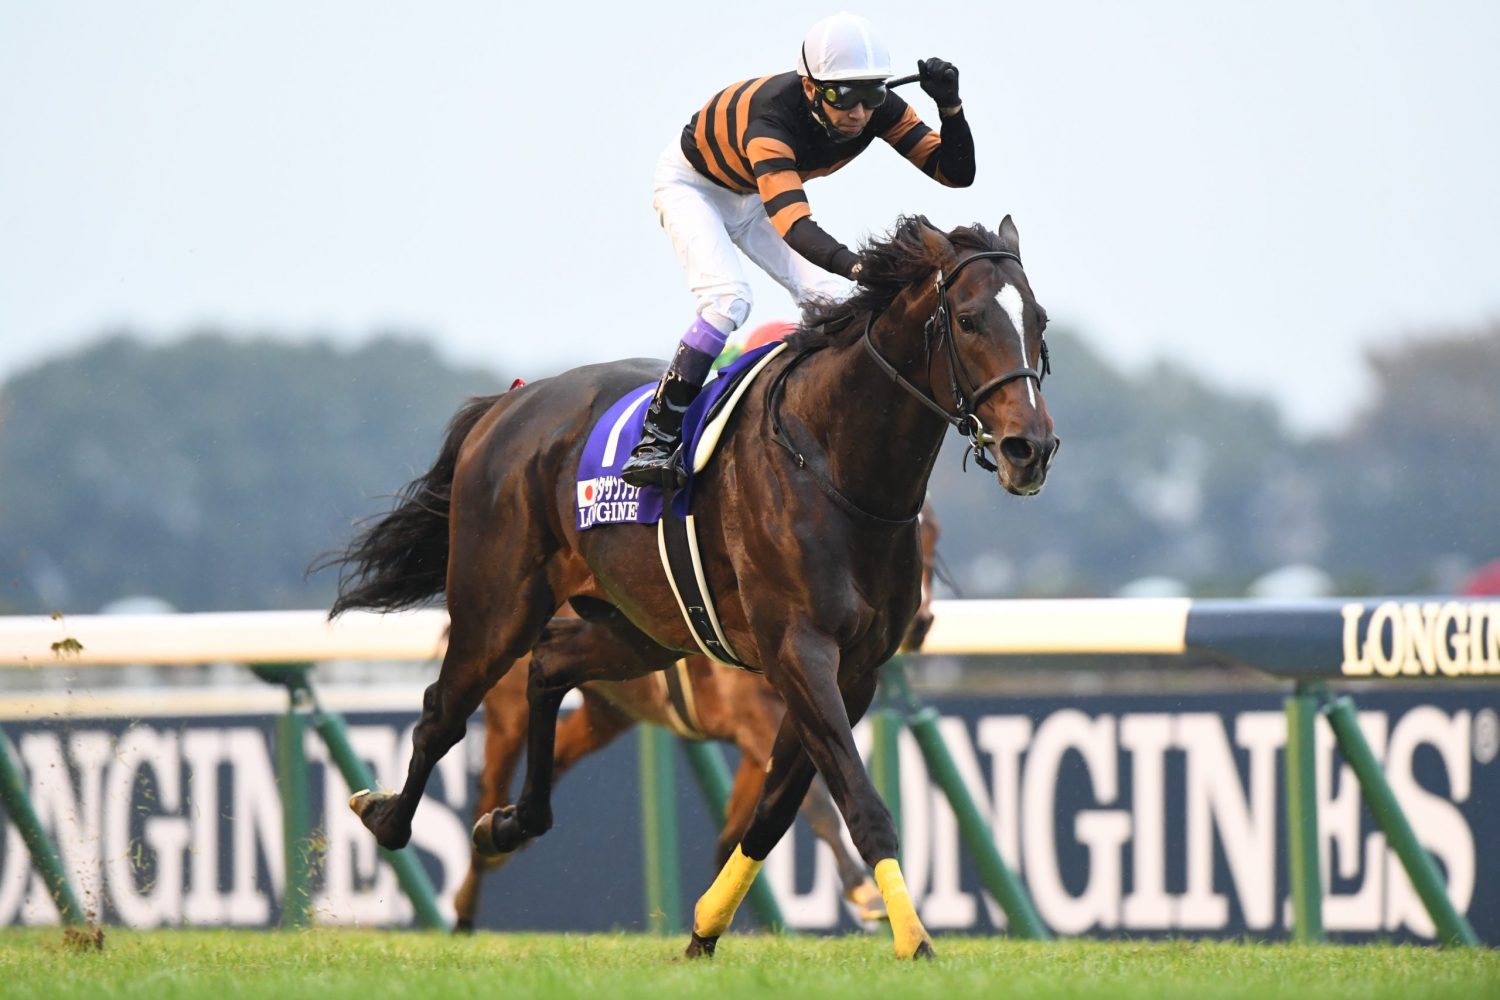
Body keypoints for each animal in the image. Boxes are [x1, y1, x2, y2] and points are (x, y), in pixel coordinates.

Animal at [450, 503, 942, 932]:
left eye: (932, 538)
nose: (919, 624)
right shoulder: (758, 716)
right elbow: (817, 805)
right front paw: (865, 892)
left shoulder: (769, 733)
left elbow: (738, 829)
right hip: (507, 708)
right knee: (488, 786)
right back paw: (467, 901)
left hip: (605, 713)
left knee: (557, 755)